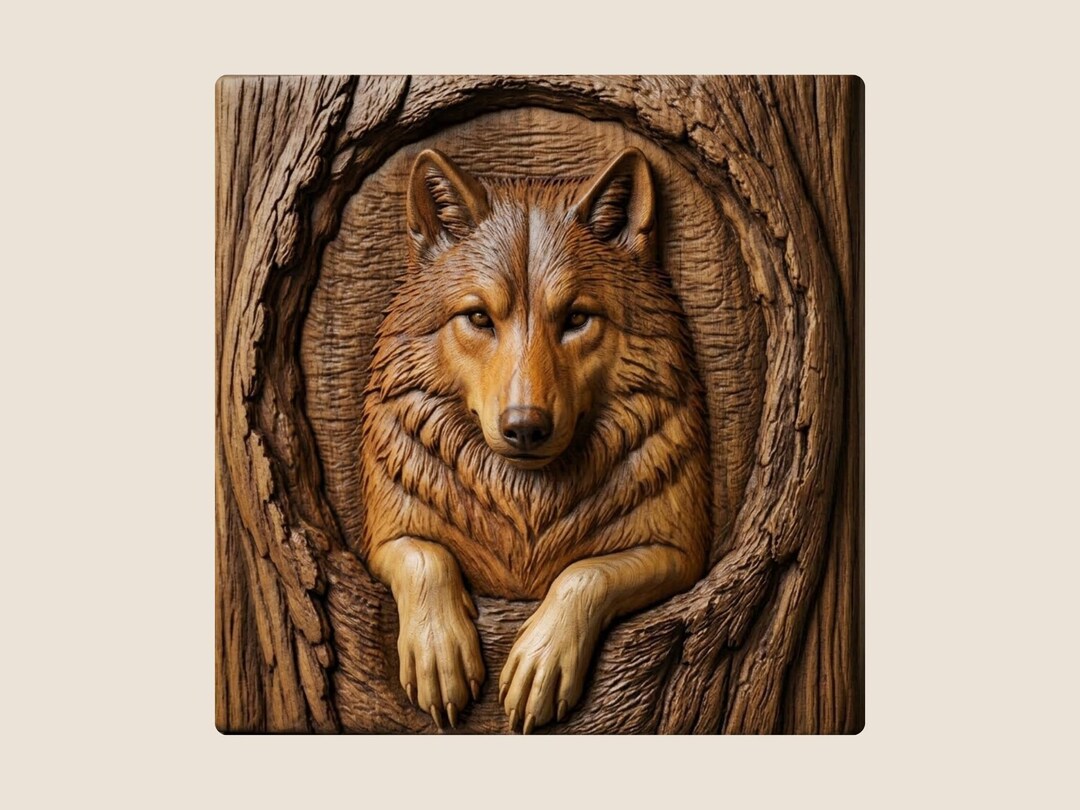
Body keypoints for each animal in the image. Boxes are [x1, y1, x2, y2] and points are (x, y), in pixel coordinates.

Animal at [358, 146, 711, 733]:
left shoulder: (679, 554)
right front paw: (439, 654)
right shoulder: (385, 539)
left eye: (576, 318)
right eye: (479, 317)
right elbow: (427, 558)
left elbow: (585, 573)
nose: (526, 427)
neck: (525, 509)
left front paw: (540, 662)